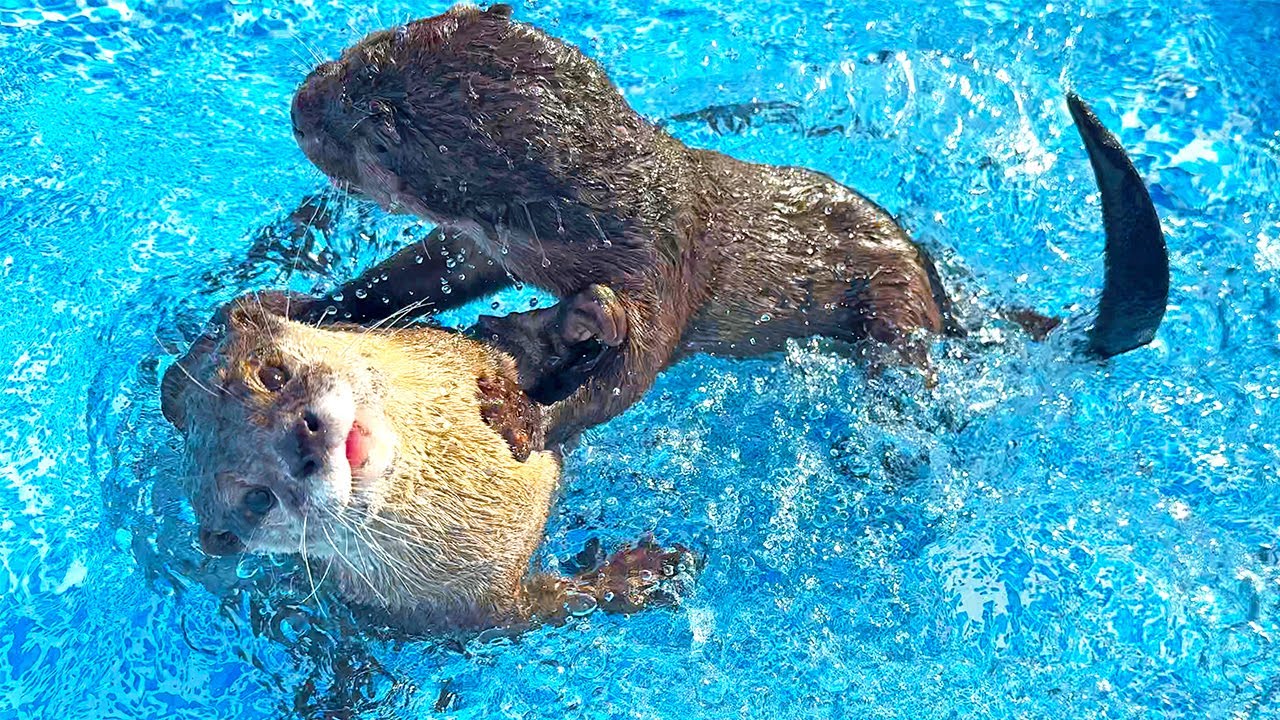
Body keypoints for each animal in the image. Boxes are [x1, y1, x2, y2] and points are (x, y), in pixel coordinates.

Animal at [159, 293, 691, 634]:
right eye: (256, 499)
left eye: (271, 375)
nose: (305, 442)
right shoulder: (471, 610)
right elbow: (548, 609)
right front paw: (632, 576)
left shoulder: (467, 353)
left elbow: (516, 351)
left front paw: (581, 318)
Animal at [287, 4, 1168, 445]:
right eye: (371, 45)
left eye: (378, 130)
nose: (300, 102)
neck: (610, 215)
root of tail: (931, 267)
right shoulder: (487, 243)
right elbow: (410, 274)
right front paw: (308, 306)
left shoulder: (661, 273)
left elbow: (631, 379)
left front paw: (526, 419)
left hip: (896, 302)